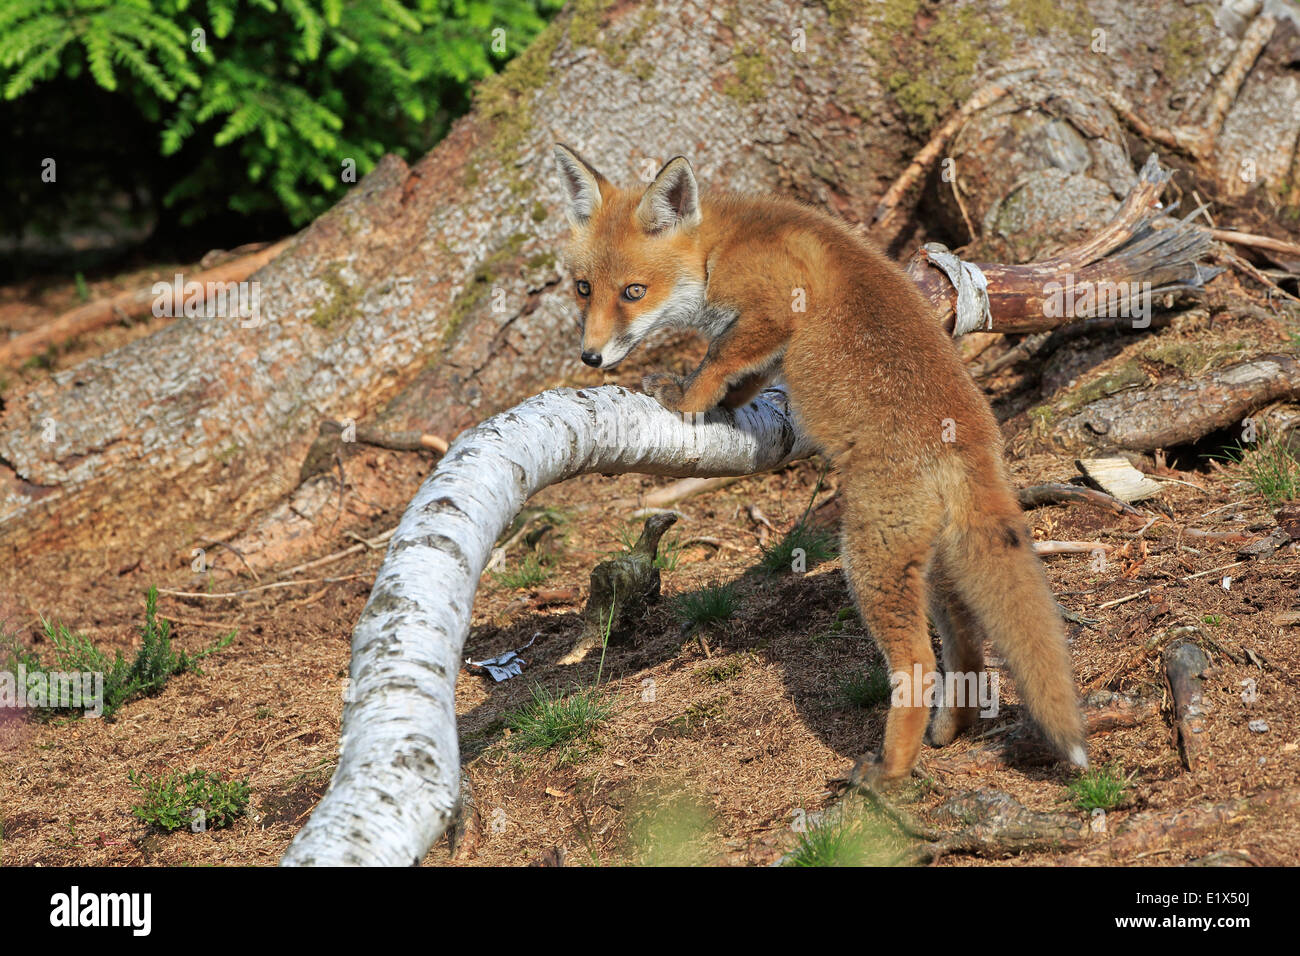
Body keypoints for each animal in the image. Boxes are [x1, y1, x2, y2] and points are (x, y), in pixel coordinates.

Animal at [551, 144, 1088, 785]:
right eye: (584, 288)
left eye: (633, 291)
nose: (590, 357)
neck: (717, 249)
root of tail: (975, 439)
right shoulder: (762, 340)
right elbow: (745, 378)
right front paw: (720, 402)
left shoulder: (774, 304)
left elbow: (718, 361)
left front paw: (686, 400)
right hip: (932, 569)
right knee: (964, 645)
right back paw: (948, 731)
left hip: (869, 561)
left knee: (917, 662)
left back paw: (889, 771)